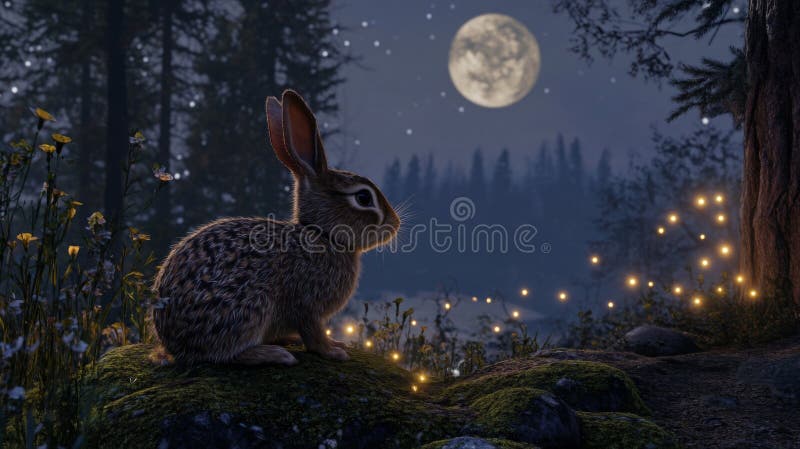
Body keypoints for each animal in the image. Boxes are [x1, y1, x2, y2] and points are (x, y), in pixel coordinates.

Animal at [151, 90, 401, 366]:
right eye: (363, 198)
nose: (395, 224)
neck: (322, 234)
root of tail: (173, 343)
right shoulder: (307, 305)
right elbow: (313, 335)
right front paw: (333, 351)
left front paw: (335, 343)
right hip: (248, 308)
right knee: (226, 355)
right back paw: (275, 354)